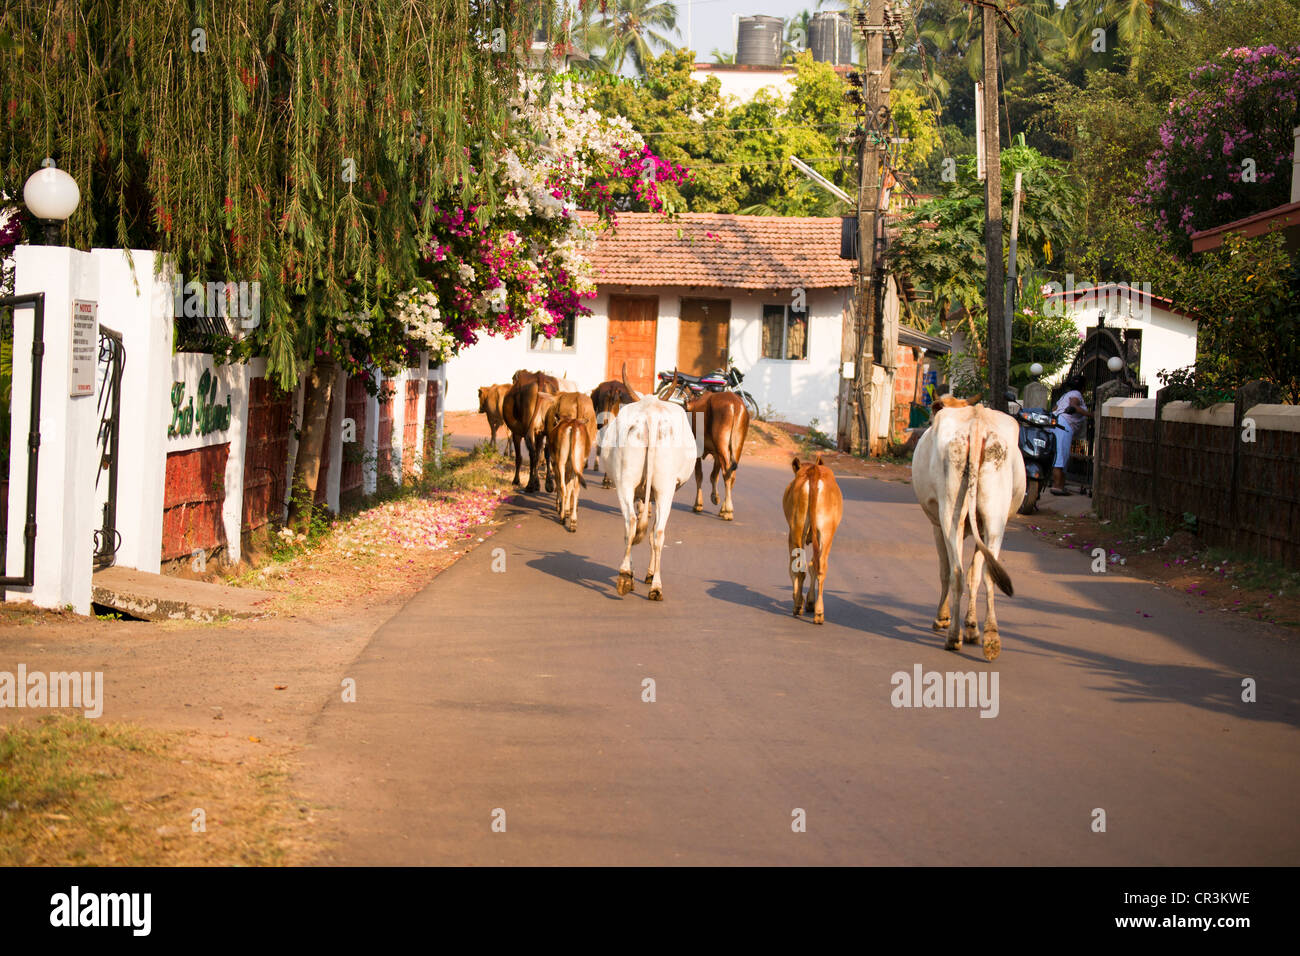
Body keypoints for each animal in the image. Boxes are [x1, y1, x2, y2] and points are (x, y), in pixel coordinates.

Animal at [598, 372, 697, 601]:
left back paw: (630, 577)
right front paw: (649, 574)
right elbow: (650, 533)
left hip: (627, 483)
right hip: (663, 488)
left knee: (634, 525)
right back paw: (648, 584)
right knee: (653, 531)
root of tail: (651, 412)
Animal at [685, 391, 750, 521]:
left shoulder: (698, 448)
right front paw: (715, 497)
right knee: (731, 473)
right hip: (735, 446)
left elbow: (699, 475)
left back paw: (728, 510)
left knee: (726, 472)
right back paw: (723, 509)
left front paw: (698, 504)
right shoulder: (716, 454)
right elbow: (713, 476)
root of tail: (735, 404)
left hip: (721, 443)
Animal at [783, 455, 843, 625]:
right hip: (827, 531)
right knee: (820, 565)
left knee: (799, 567)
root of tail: (813, 471)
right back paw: (819, 612)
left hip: (797, 528)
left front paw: (800, 600)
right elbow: (812, 566)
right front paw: (810, 602)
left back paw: (797, 605)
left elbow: (794, 568)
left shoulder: (791, 535)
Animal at [912, 397, 1025, 661]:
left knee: (955, 571)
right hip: (995, 517)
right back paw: (991, 638)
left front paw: (943, 618)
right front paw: (972, 628)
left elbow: (945, 571)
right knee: (987, 573)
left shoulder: (936, 525)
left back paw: (954, 636)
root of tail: (977, 421)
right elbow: (975, 573)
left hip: (949, 513)